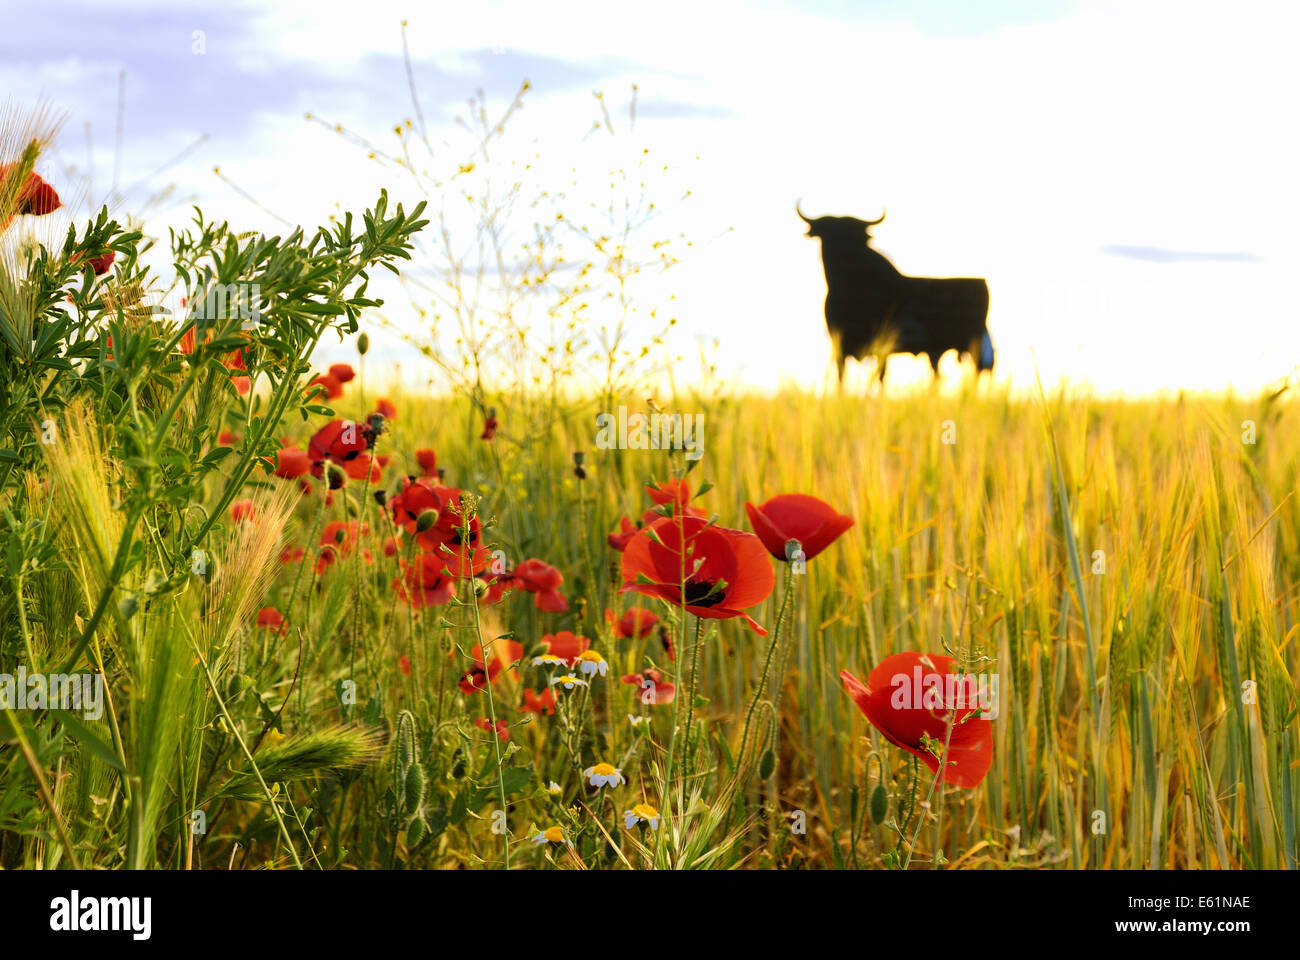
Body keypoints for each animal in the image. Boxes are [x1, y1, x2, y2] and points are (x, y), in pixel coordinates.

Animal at [798, 203, 994, 386]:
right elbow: (842, 377)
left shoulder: (881, 343)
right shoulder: (840, 343)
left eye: (855, 235)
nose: (843, 253)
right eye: (828, 233)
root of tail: (981, 282)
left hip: (972, 343)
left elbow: (880, 376)